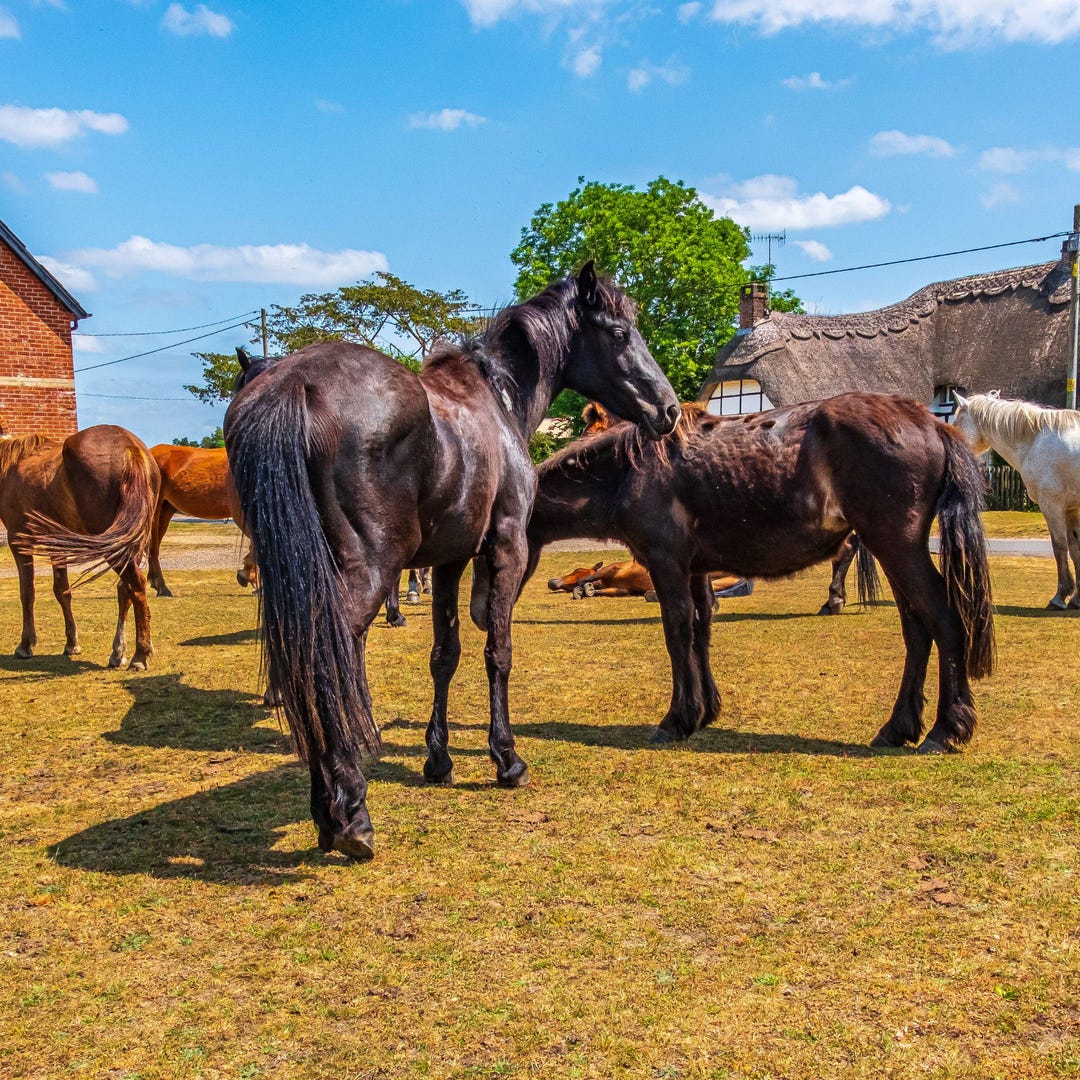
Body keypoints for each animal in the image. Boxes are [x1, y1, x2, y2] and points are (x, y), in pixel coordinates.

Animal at [0, 425, 161, 669]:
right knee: (125, 588)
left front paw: (25, 645)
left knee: (136, 584)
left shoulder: (19, 538)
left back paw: (139, 655)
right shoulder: (56, 544)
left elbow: (27, 592)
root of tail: (130, 448)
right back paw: (118, 652)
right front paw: (71, 643)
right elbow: (62, 590)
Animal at [225, 263, 679, 859]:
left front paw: (437, 759)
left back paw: (330, 809)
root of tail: (292, 383)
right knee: (328, 663)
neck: (495, 400)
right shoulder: (505, 548)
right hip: (364, 571)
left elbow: (445, 655)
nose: (669, 410)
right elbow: (497, 653)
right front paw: (506, 758)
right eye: (621, 333)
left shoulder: (447, 562)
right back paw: (349, 813)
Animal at [512, 394, 995, 753]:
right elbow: (701, 629)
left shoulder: (667, 565)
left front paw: (676, 719)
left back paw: (945, 730)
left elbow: (677, 633)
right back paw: (898, 727)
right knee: (916, 629)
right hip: (893, 551)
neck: (629, 470)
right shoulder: (695, 570)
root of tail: (931, 425)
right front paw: (703, 712)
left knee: (944, 620)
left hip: (897, 545)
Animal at [953, 391, 1080, 610]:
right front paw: (1076, 598)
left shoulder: (1052, 505)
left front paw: (1060, 596)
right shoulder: (1071, 509)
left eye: (957, 421)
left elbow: (1059, 547)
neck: (1035, 441)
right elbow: (1074, 549)